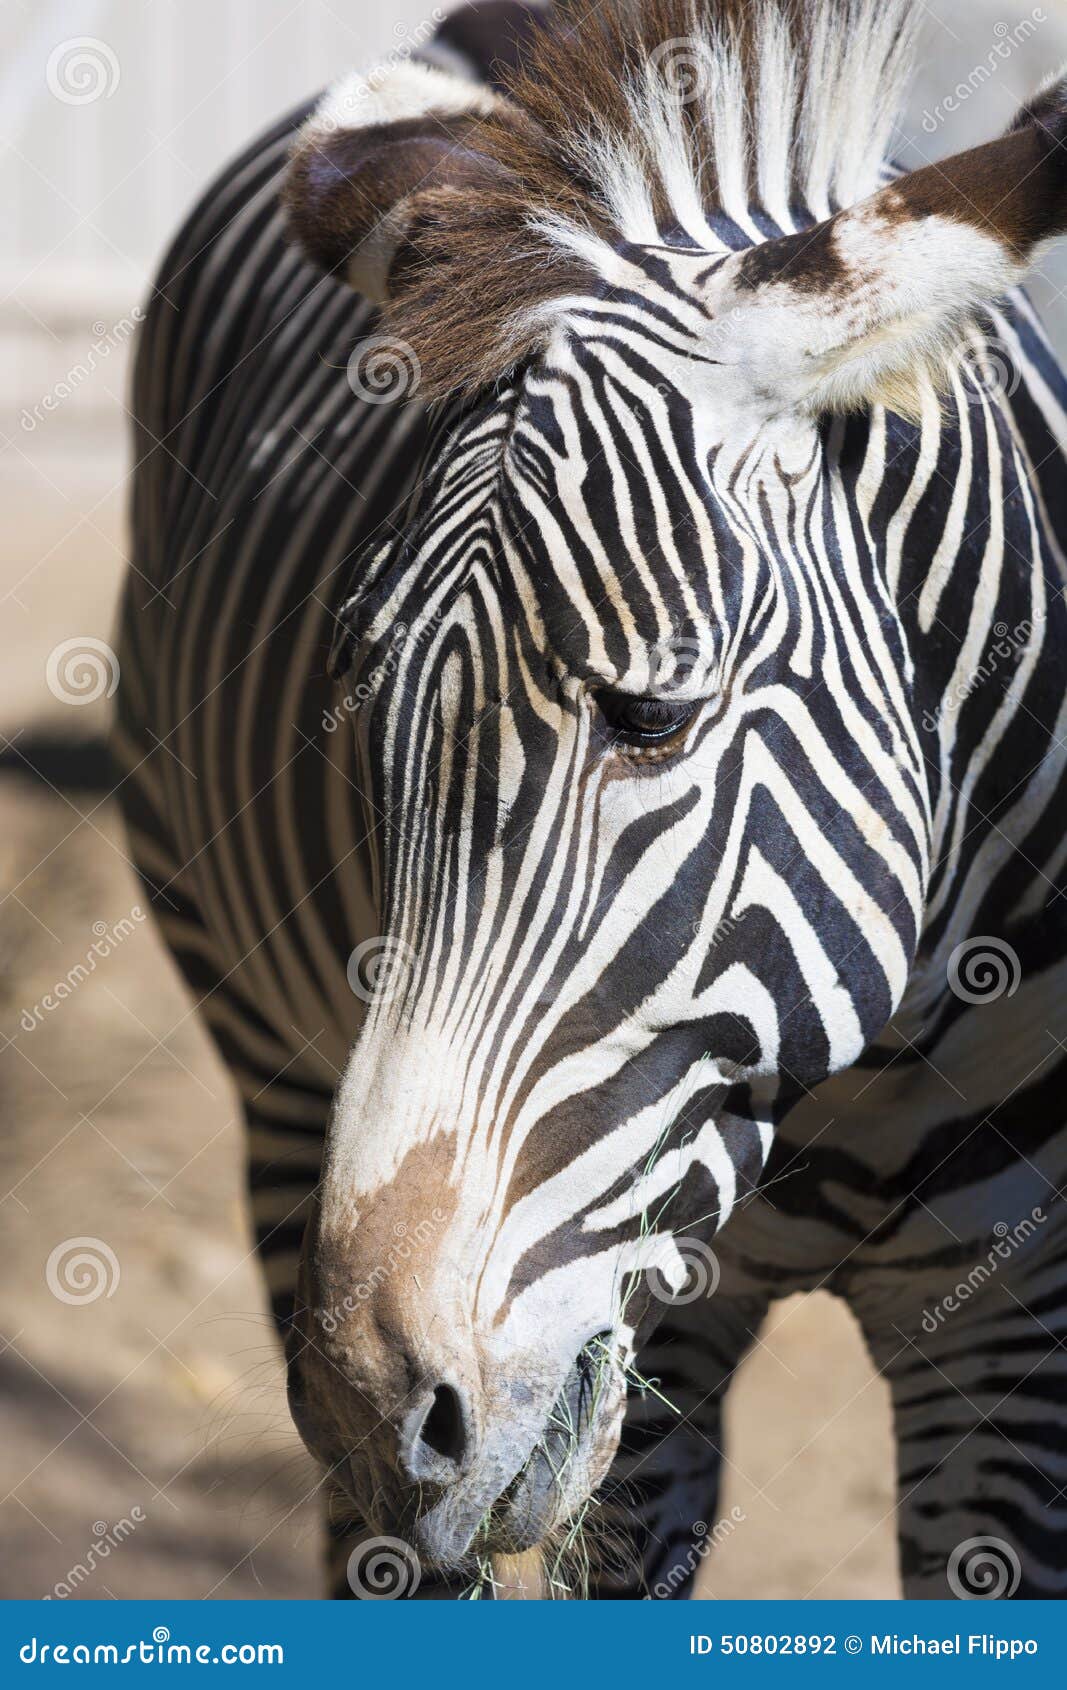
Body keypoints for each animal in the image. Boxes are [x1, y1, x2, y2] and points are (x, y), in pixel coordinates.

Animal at [113, 0, 1067, 1599]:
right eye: (358, 705)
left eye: (649, 716)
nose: (369, 1405)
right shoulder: (637, 1333)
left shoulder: (1015, 1318)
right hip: (268, 1075)